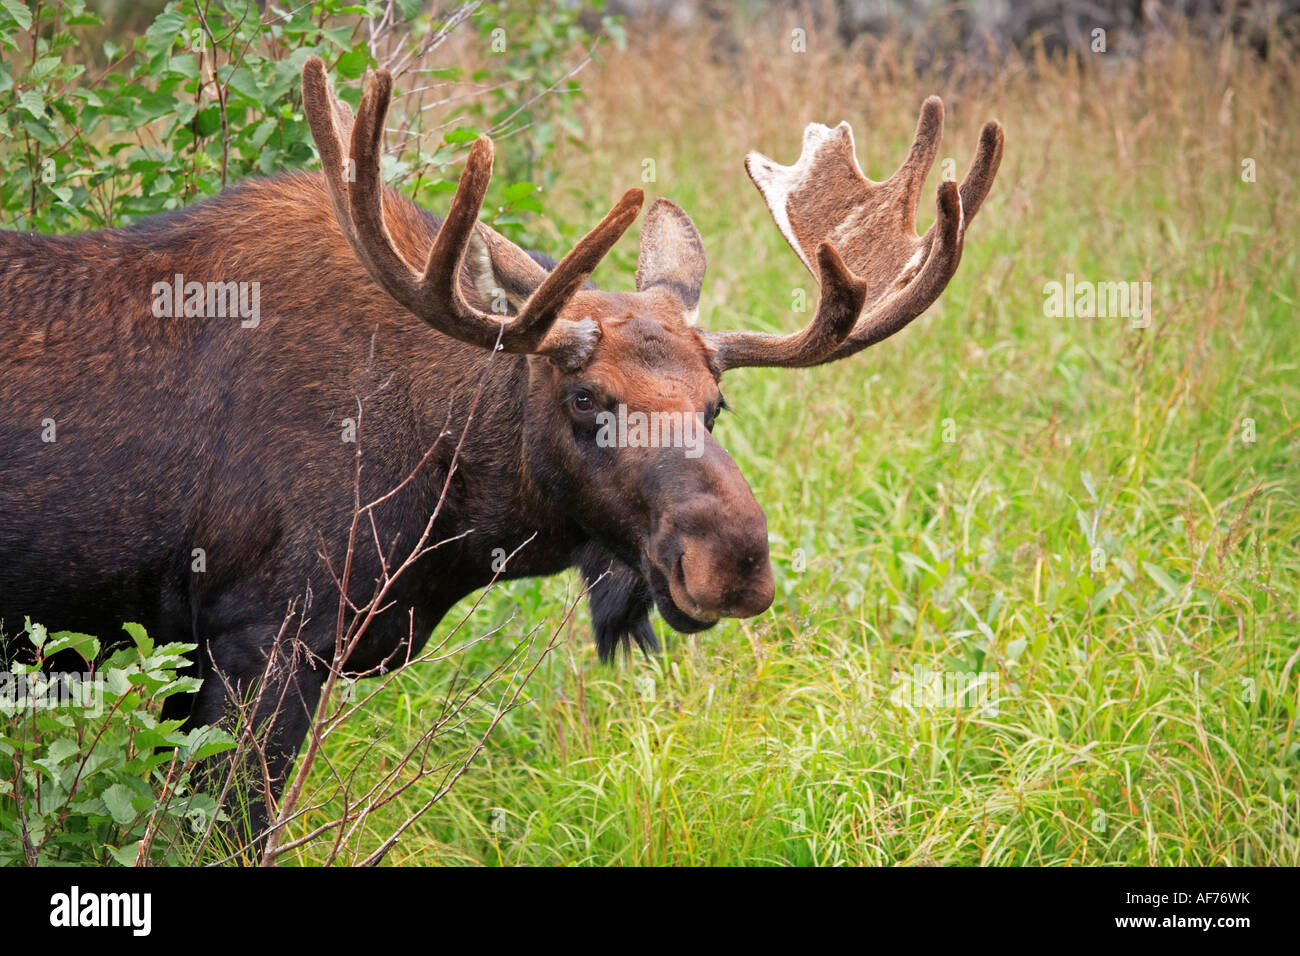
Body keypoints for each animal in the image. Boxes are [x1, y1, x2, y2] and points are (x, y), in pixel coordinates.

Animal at [0, 58, 1002, 844]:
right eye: (585, 399)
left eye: (715, 406)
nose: (734, 560)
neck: (441, 516)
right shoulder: (259, 638)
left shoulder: (185, 651)